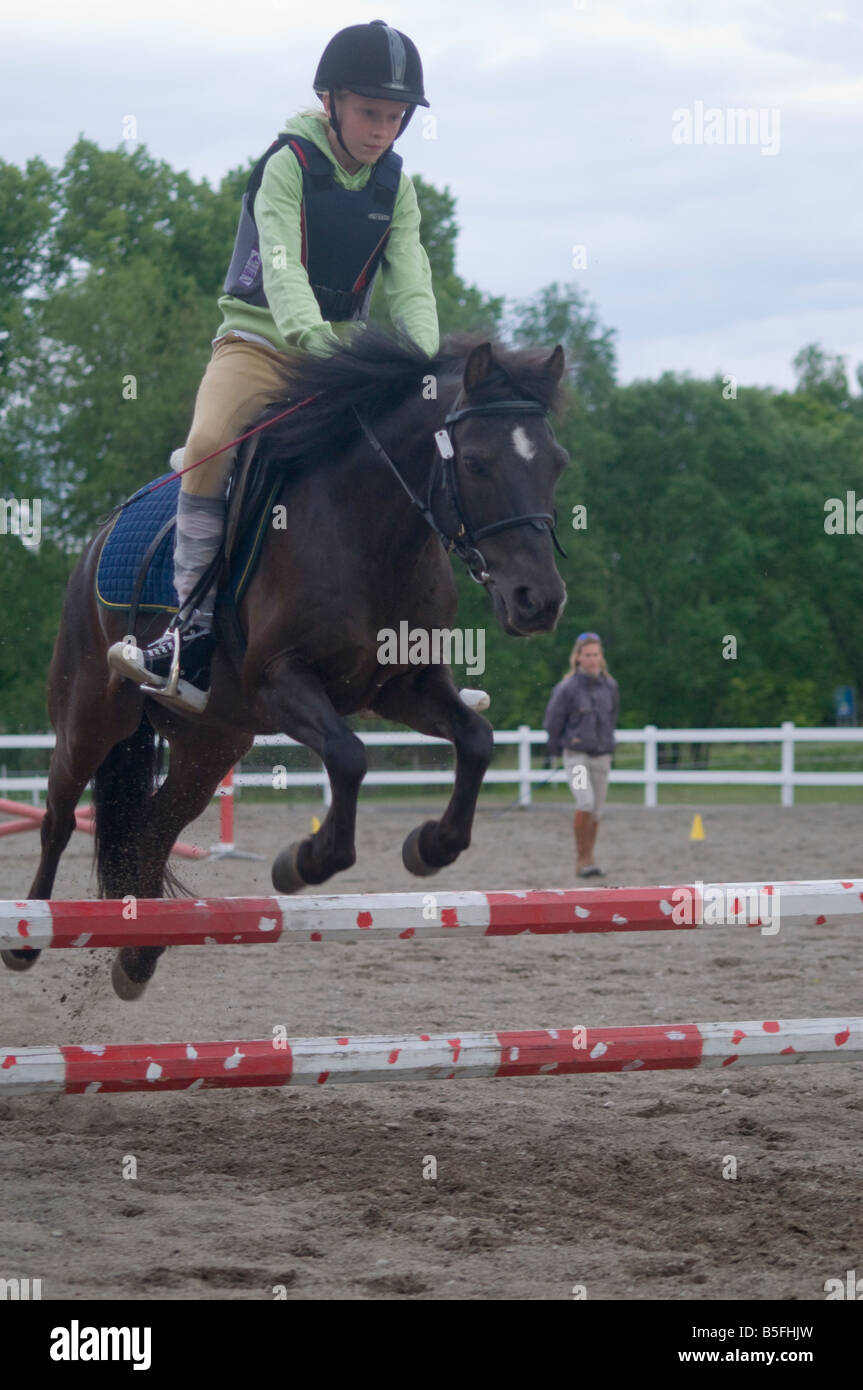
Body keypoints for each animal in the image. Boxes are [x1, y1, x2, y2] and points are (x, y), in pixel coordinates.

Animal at [2, 328, 569, 998]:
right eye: (477, 462)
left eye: (556, 463)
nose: (539, 601)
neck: (370, 532)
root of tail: (96, 539)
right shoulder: (280, 682)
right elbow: (349, 755)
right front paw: (304, 863)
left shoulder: (403, 688)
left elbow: (477, 740)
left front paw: (429, 846)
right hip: (91, 715)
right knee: (59, 816)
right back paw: (29, 936)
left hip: (212, 741)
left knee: (154, 828)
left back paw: (138, 957)